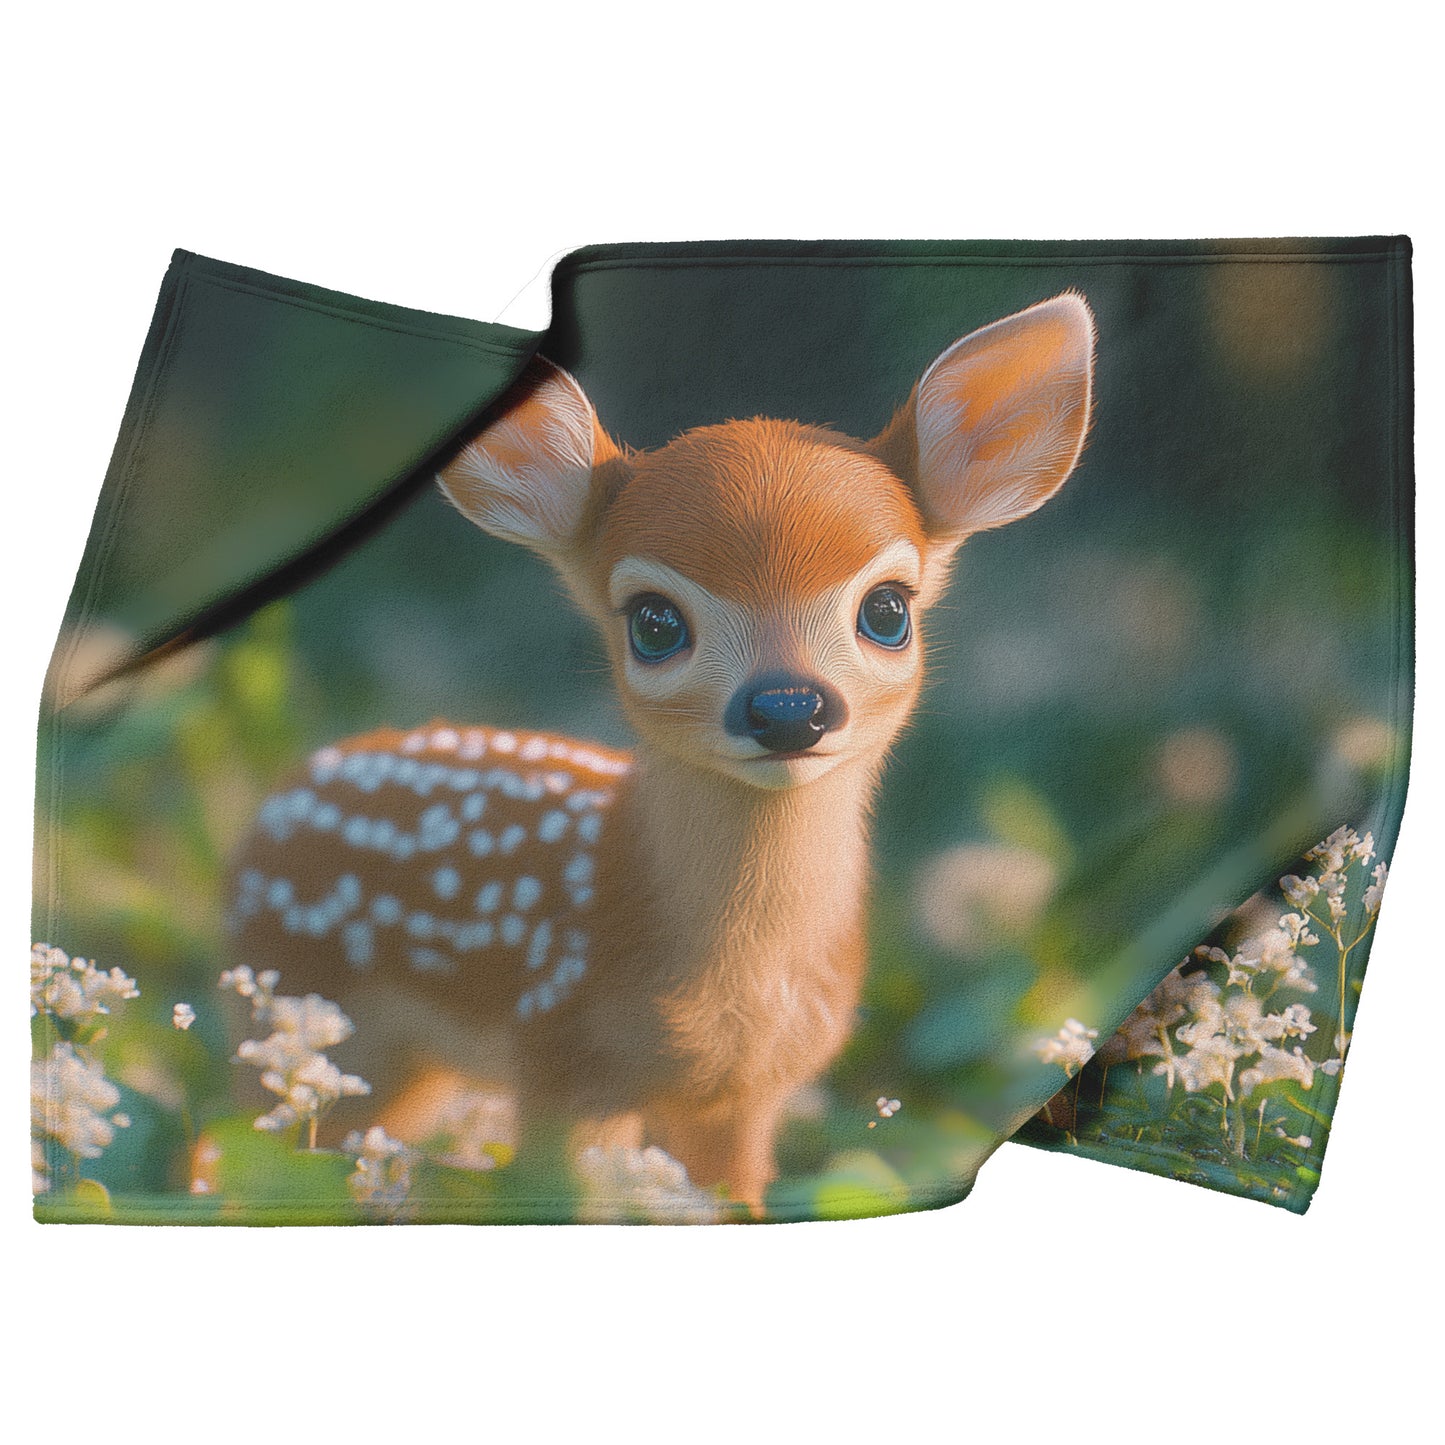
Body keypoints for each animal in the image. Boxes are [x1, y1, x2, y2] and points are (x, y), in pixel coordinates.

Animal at [224, 293, 1095, 1214]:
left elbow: (734, 1199)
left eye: (887, 608)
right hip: (299, 1001)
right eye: (653, 621)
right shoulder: (558, 1049)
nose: (788, 707)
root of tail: (279, 796)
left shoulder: (748, 1093)